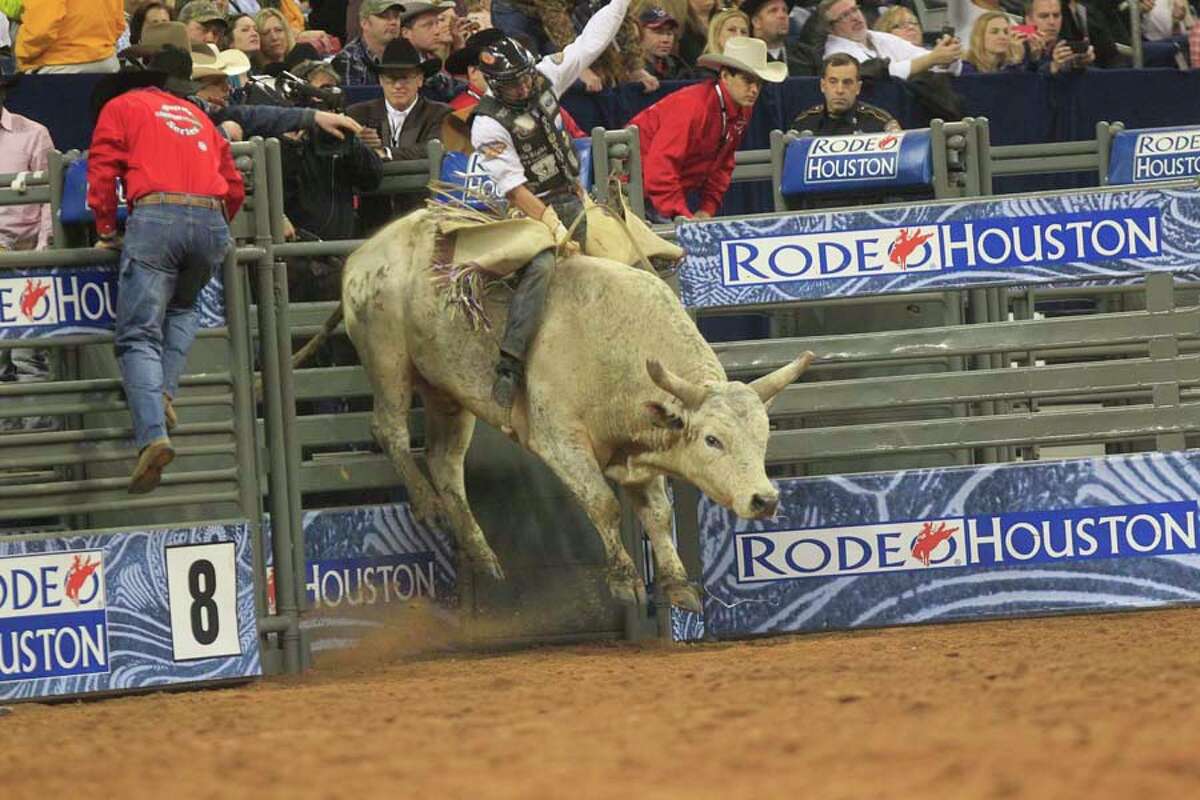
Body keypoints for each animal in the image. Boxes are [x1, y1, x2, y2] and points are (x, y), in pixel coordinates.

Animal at [342, 209, 813, 612]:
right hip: (387, 358)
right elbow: (603, 504)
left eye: (764, 438)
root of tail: (366, 253)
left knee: (444, 461)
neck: (615, 343)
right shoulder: (559, 441)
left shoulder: (636, 450)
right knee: (390, 429)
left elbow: (658, 514)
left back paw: (484, 557)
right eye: (713, 439)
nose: (765, 500)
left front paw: (678, 586)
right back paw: (428, 505)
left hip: (446, 391)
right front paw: (625, 581)